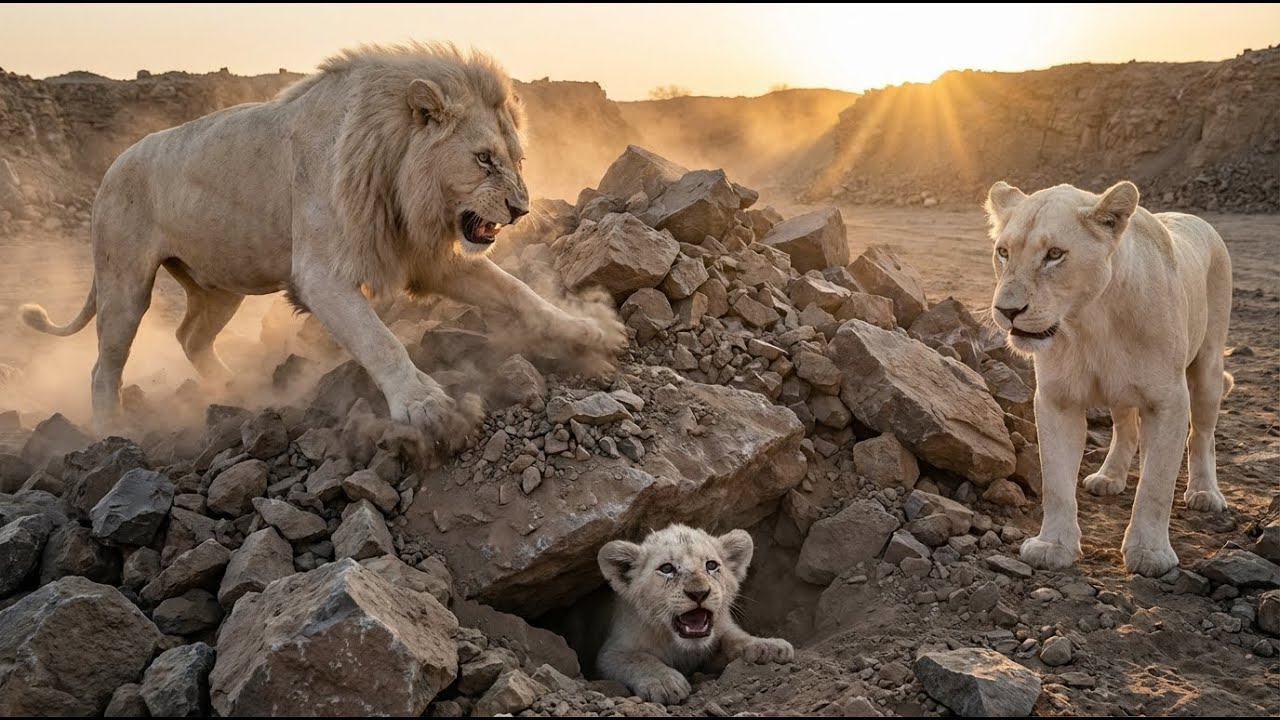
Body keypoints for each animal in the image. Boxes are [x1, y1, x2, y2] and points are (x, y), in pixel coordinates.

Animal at [20, 43, 623, 434]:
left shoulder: (431, 258)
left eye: (518, 161)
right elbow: (380, 339)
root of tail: (109, 168)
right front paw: (424, 405)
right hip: (124, 281)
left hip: (221, 284)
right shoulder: (321, 277)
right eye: (483, 159)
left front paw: (588, 330)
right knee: (105, 365)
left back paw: (235, 389)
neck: (396, 173)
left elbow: (519, 293)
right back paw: (112, 432)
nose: (521, 210)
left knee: (190, 336)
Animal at [596, 524, 794, 704]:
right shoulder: (610, 653)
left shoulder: (720, 631)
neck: (681, 647)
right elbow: (638, 658)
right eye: (666, 568)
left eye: (711, 565)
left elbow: (736, 637)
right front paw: (665, 682)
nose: (699, 593)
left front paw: (768, 647)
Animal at [985, 180, 1232, 577]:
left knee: (1203, 434)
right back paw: (1109, 477)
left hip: (1208, 365)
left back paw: (1206, 493)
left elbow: (1156, 484)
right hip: (1122, 392)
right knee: (1126, 431)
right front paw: (1052, 546)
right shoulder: (1056, 400)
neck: (1090, 322)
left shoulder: (1168, 400)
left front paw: (1149, 553)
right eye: (1003, 253)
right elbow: (1055, 481)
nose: (1007, 311)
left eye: (1055, 254)